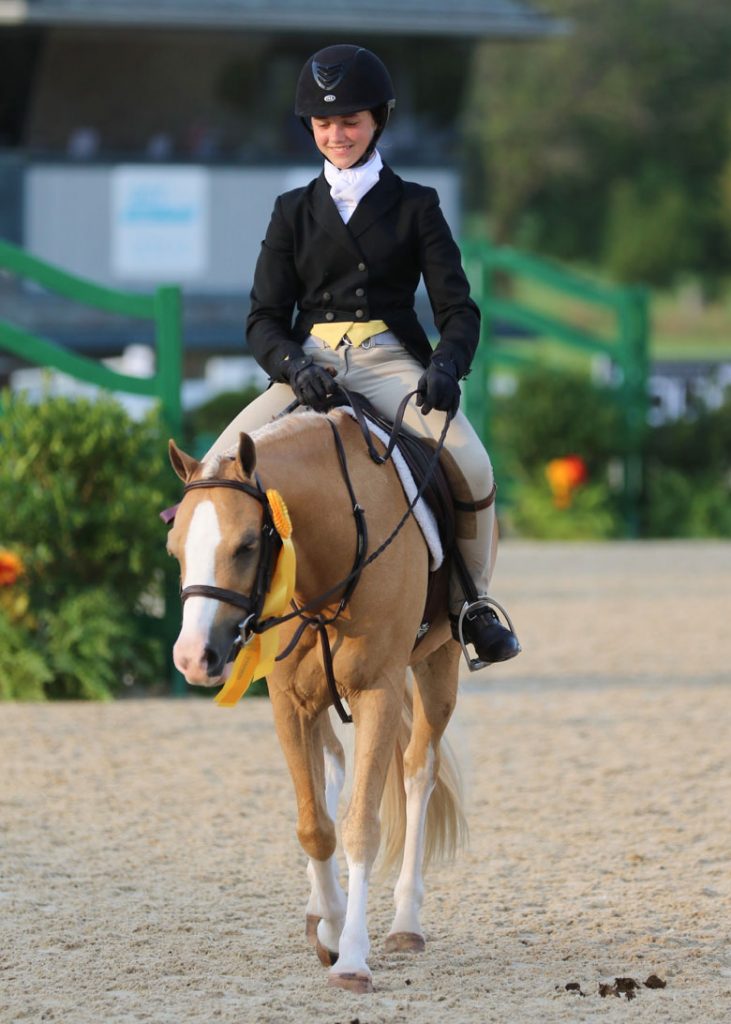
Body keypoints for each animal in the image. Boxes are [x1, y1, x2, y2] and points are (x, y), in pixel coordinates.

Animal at [165, 408, 470, 993]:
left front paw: (351, 956)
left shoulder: (378, 691)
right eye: (175, 551)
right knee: (332, 762)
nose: (193, 657)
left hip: (437, 663)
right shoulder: (288, 699)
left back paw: (406, 923)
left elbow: (360, 828)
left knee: (418, 770)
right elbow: (314, 826)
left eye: (246, 545)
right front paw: (329, 925)